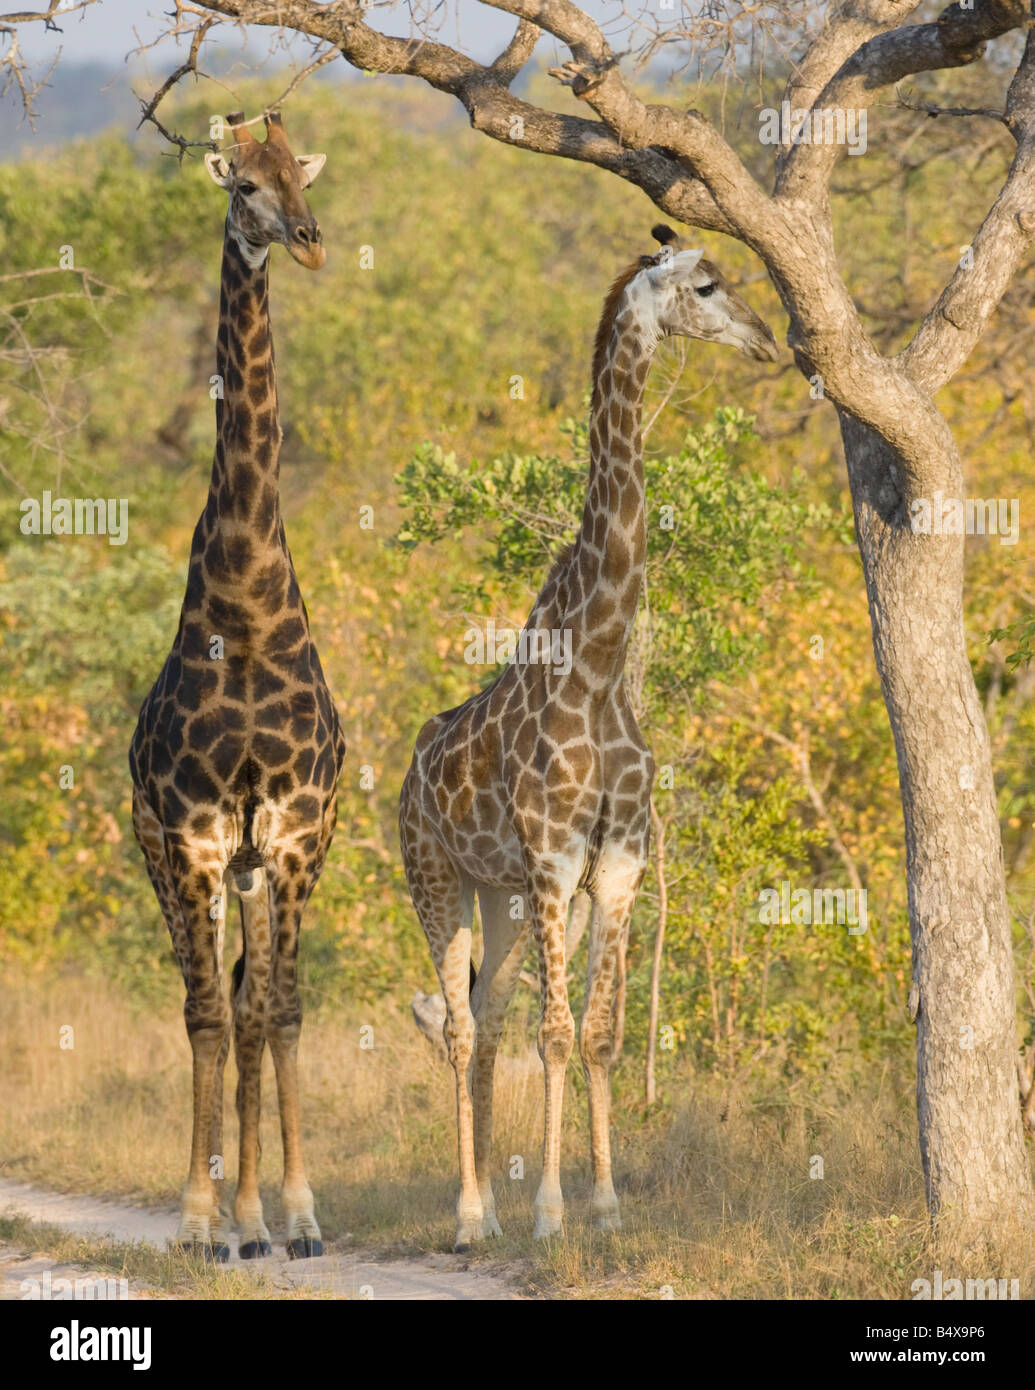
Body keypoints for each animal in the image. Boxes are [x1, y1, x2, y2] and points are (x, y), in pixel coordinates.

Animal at [399, 226, 779, 1250]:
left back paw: (485, 1208)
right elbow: (558, 1033)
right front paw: (551, 1213)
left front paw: (604, 1205)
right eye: (706, 284)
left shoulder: (617, 861)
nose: (770, 343)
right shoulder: (555, 858)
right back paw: (469, 1216)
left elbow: (600, 1034)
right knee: (460, 1026)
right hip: (436, 878)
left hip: (500, 894)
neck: (601, 663)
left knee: (485, 1022)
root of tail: (405, 776)